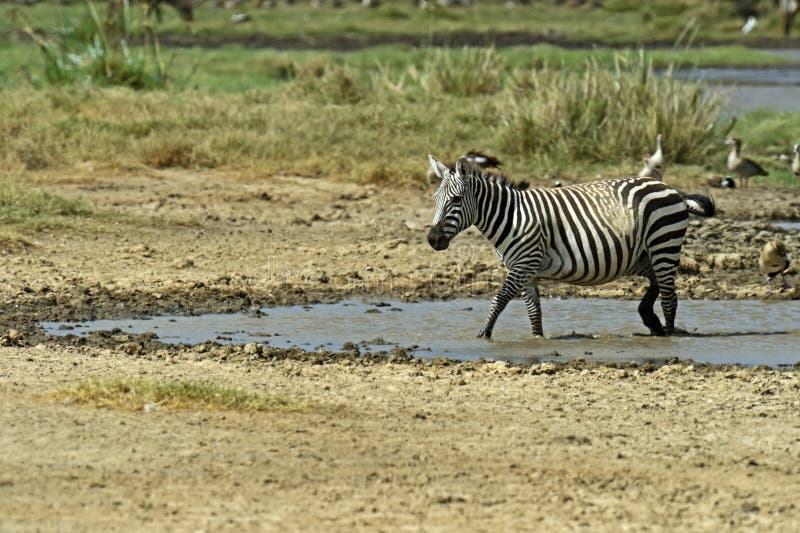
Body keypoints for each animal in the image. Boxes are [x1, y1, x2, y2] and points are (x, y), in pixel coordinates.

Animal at [426, 155, 715, 339]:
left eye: (456, 200)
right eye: (436, 199)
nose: (432, 239)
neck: (511, 215)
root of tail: (674, 190)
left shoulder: (524, 264)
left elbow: (499, 300)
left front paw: (483, 334)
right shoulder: (525, 269)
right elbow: (534, 312)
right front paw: (537, 339)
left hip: (663, 243)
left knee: (669, 297)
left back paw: (667, 333)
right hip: (644, 255)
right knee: (657, 284)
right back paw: (650, 319)